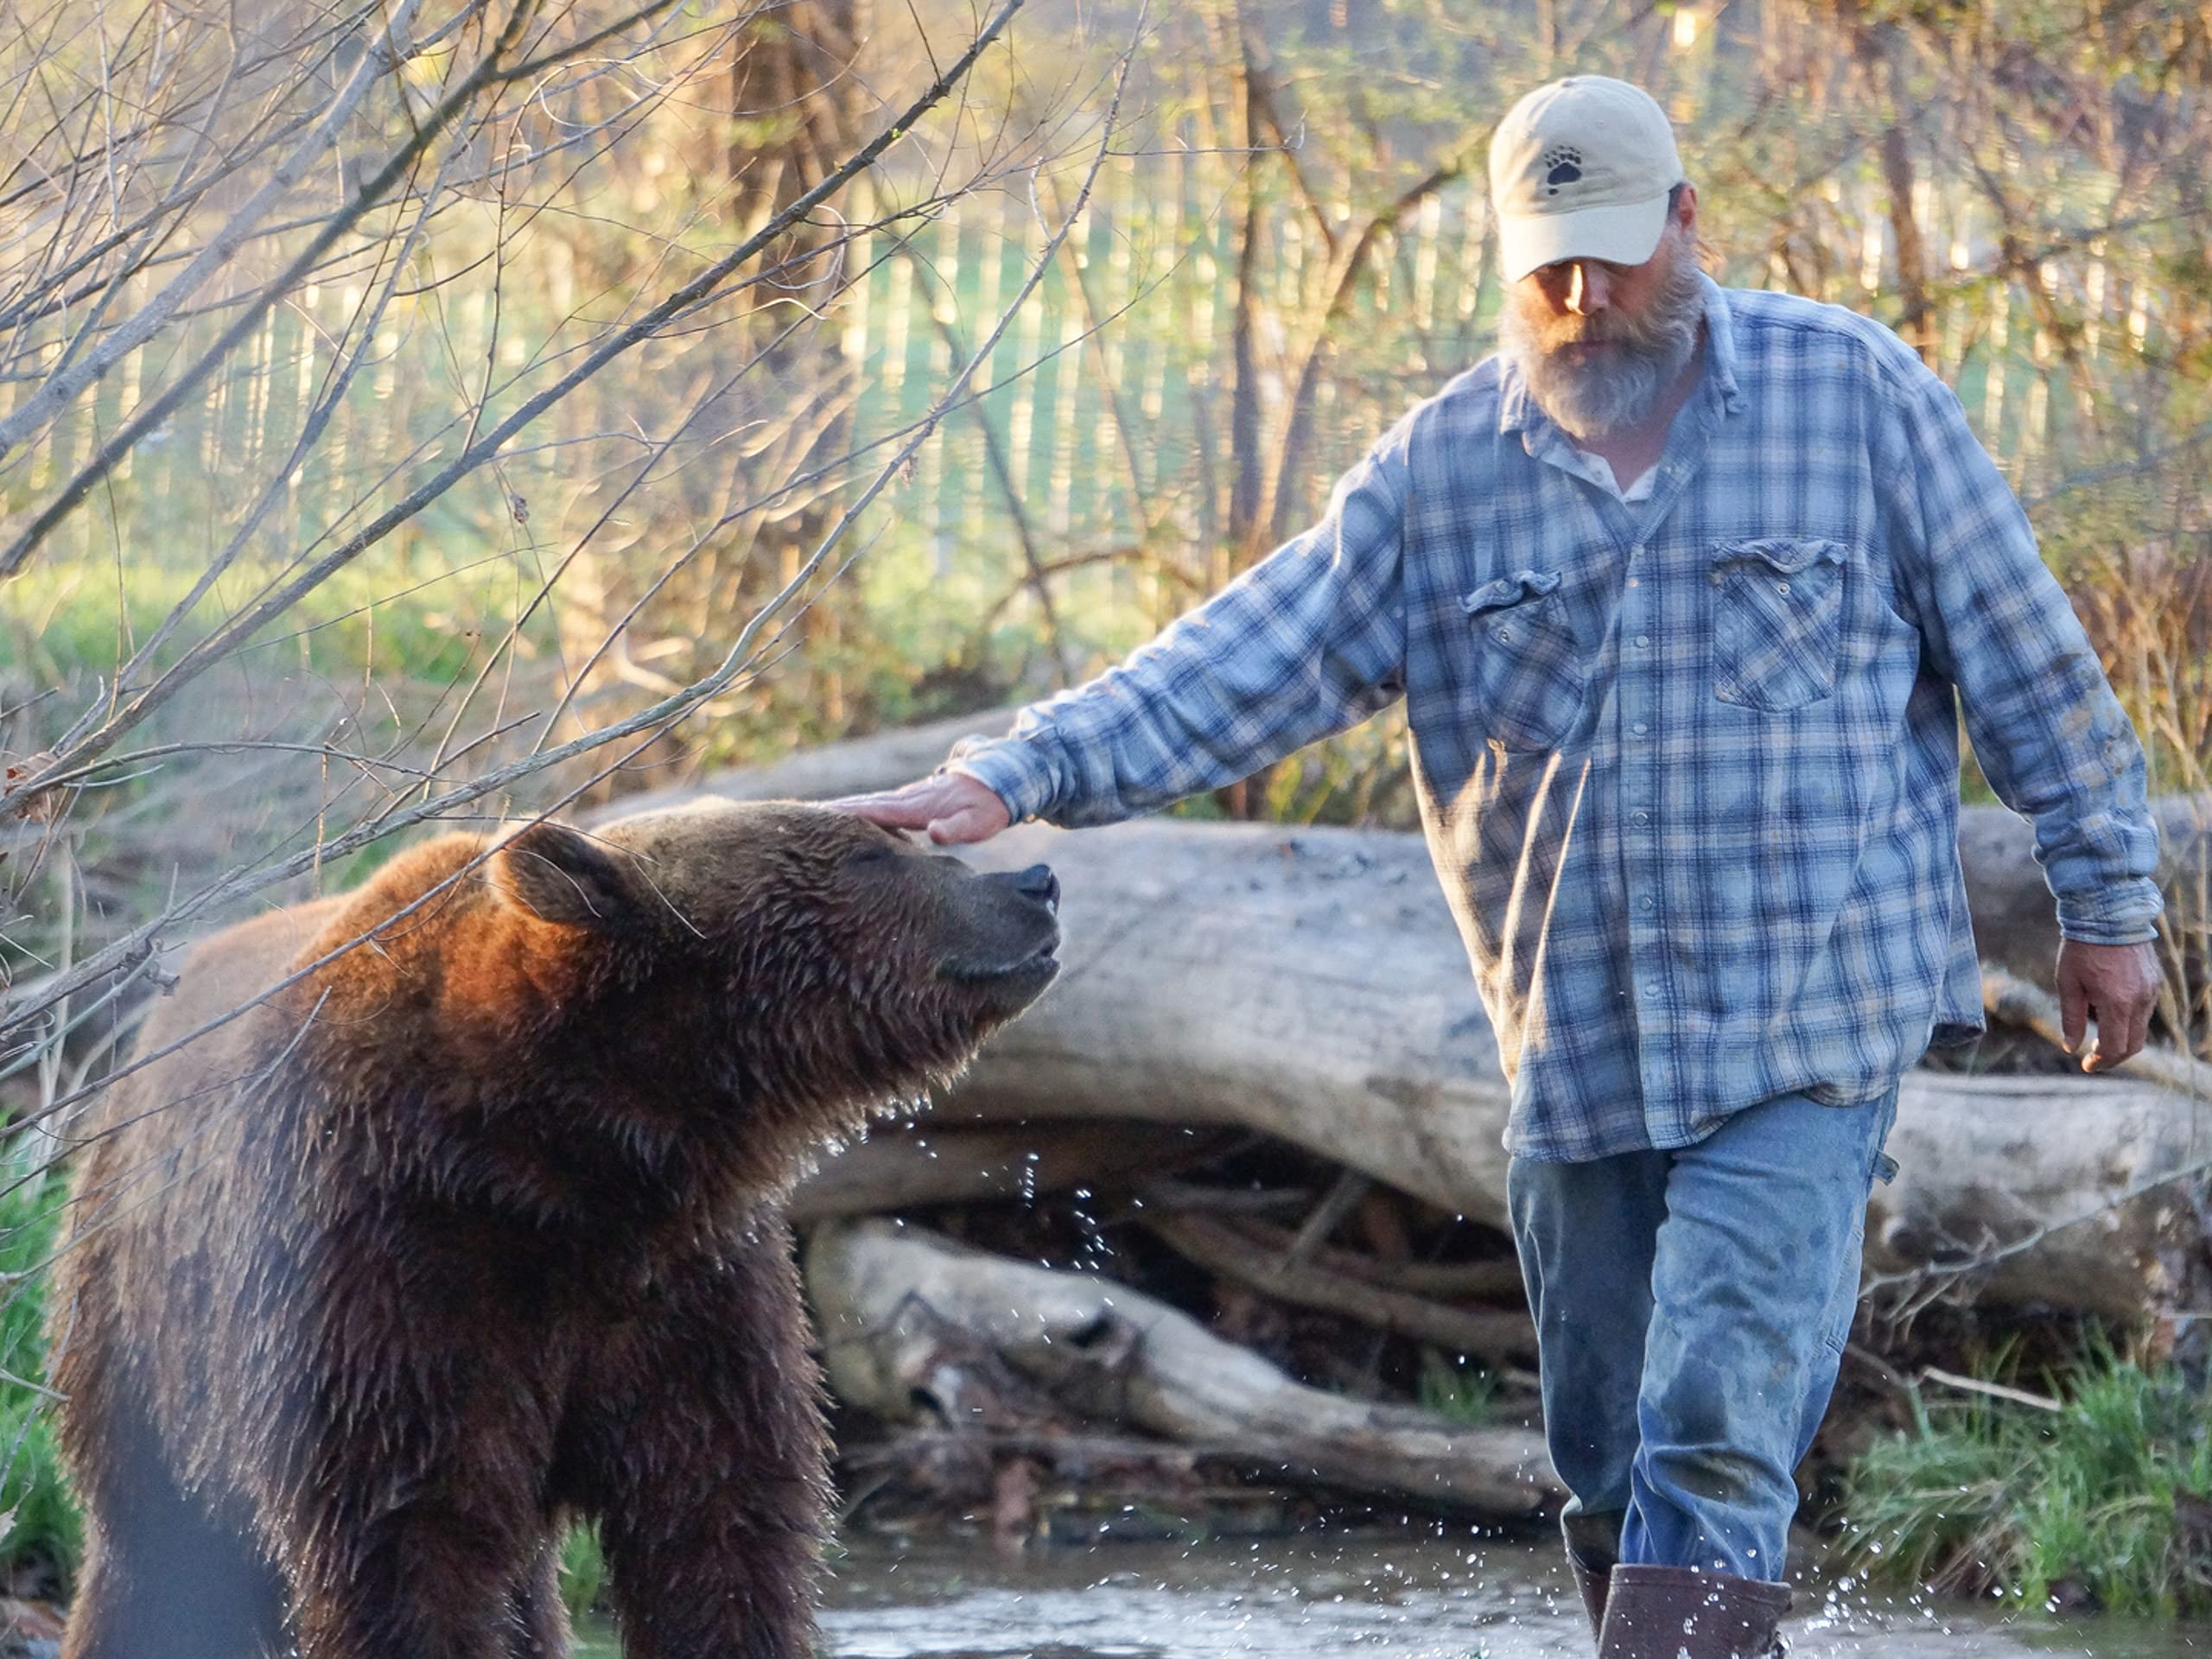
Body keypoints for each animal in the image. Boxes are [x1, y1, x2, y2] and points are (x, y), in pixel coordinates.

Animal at [46, 799, 1061, 1659]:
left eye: (899, 838)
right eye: (868, 853)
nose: (1035, 881)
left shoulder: (687, 1281)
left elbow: (721, 1514)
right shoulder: (390, 1258)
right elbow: (411, 1533)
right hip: (149, 1340)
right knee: (155, 1556)